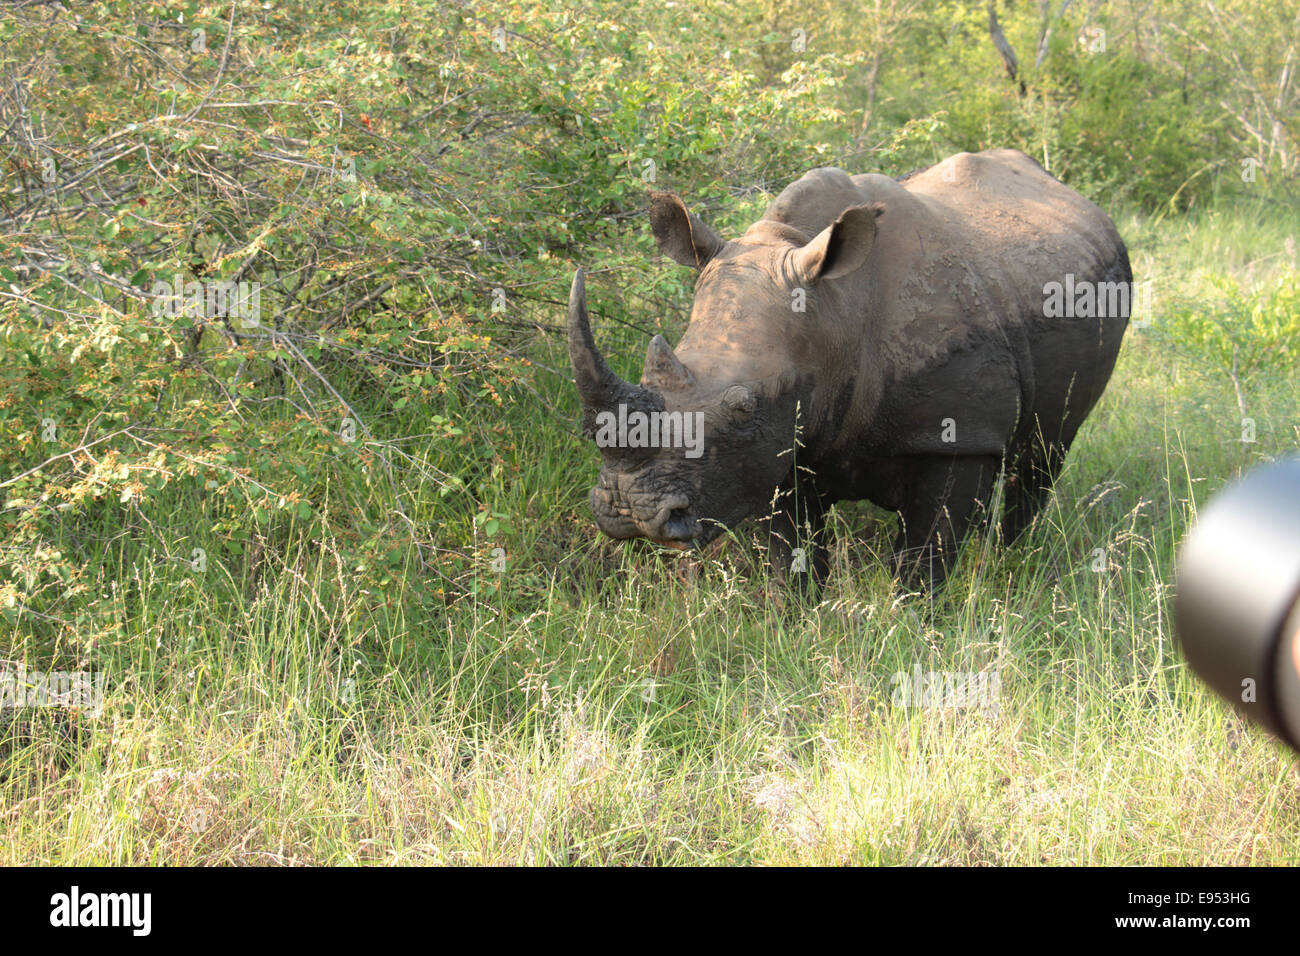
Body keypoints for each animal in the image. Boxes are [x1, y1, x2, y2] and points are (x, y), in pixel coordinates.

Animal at [568, 148, 1130, 587]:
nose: (630, 510)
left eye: (743, 407)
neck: (834, 314)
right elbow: (793, 559)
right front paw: (796, 622)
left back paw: (1010, 565)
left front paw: (913, 623)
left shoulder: (958, 435)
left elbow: (924, 557)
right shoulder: (781, 445)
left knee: (1045, 453)